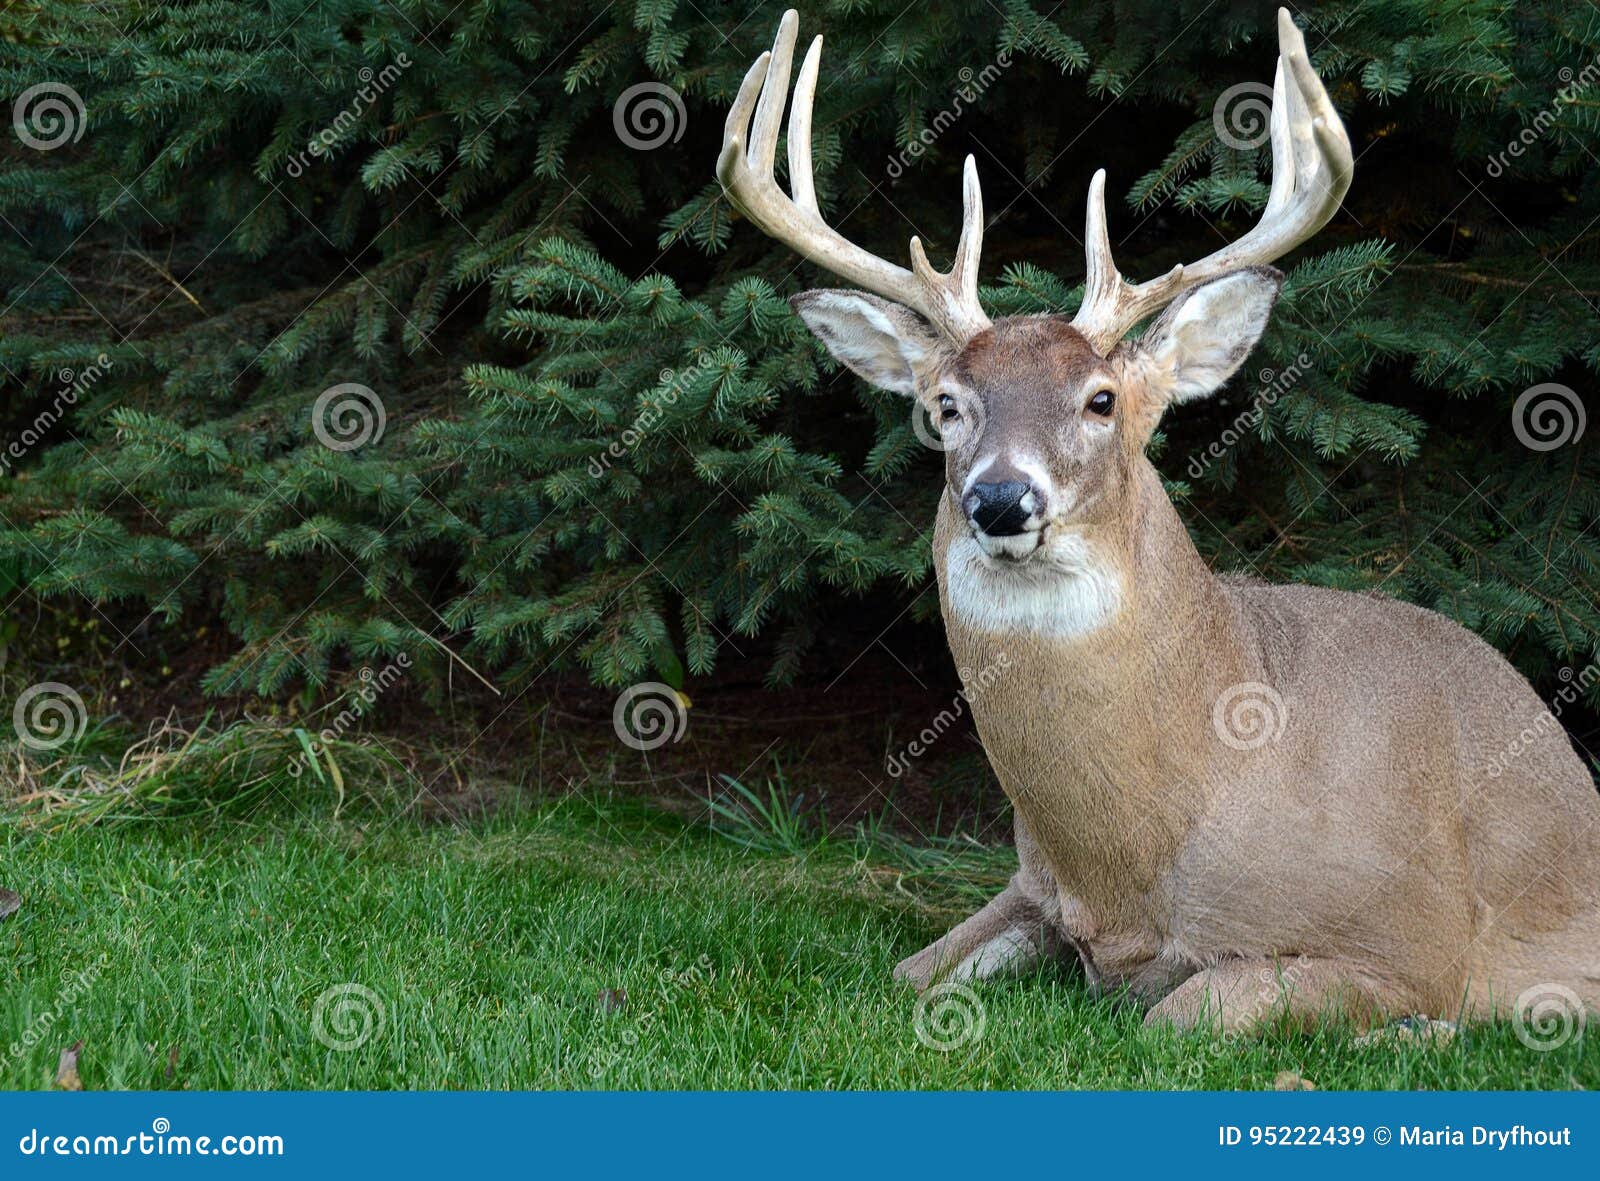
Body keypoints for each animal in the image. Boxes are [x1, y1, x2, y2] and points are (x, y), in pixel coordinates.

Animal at [717, 9, 1600, 1033]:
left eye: (1101, 399)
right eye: (946, 405)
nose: (1001, 499)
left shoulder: (1413, 932)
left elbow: (1177, 1016)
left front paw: (1417, 1028)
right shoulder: (1031, 887)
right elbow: (905, 975)